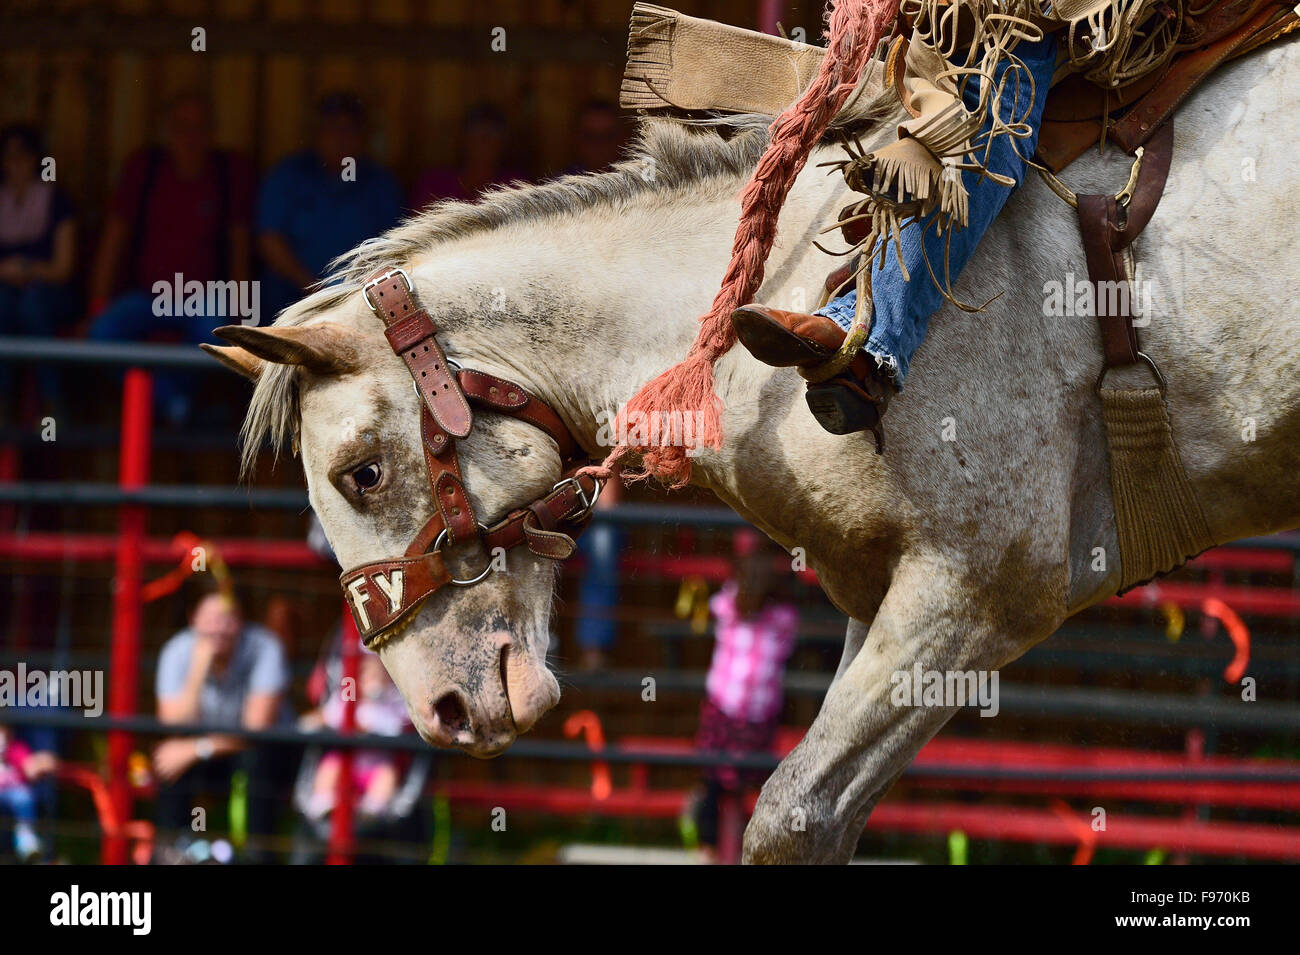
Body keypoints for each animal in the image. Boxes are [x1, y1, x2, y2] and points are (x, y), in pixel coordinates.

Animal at [210, 37, 1300, 863]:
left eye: (362, 471)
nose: (445, 709)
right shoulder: (885, 604)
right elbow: (821, 815)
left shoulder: (979, 588)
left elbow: (787, 818)